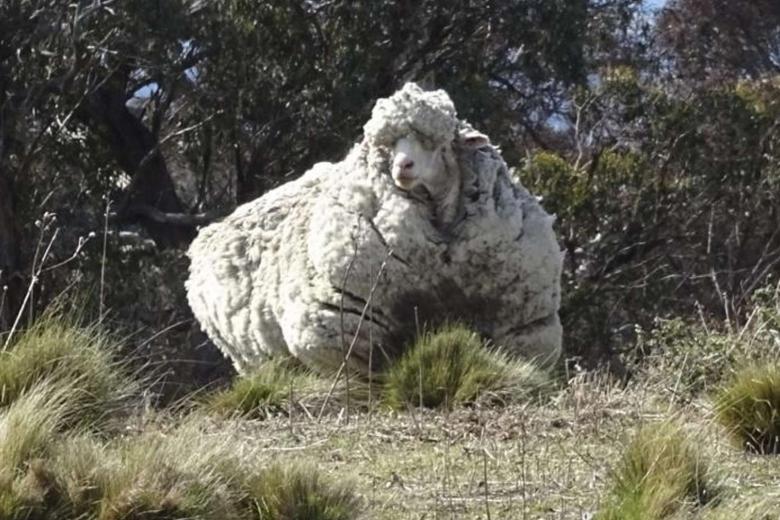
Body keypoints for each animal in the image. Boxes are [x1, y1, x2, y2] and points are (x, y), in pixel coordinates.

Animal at [186, 82, 562, 375]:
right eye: (387, 146)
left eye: (437, 142)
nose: (403, 166)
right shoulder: (343, 329)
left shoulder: (524, 326)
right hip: (252, 357)